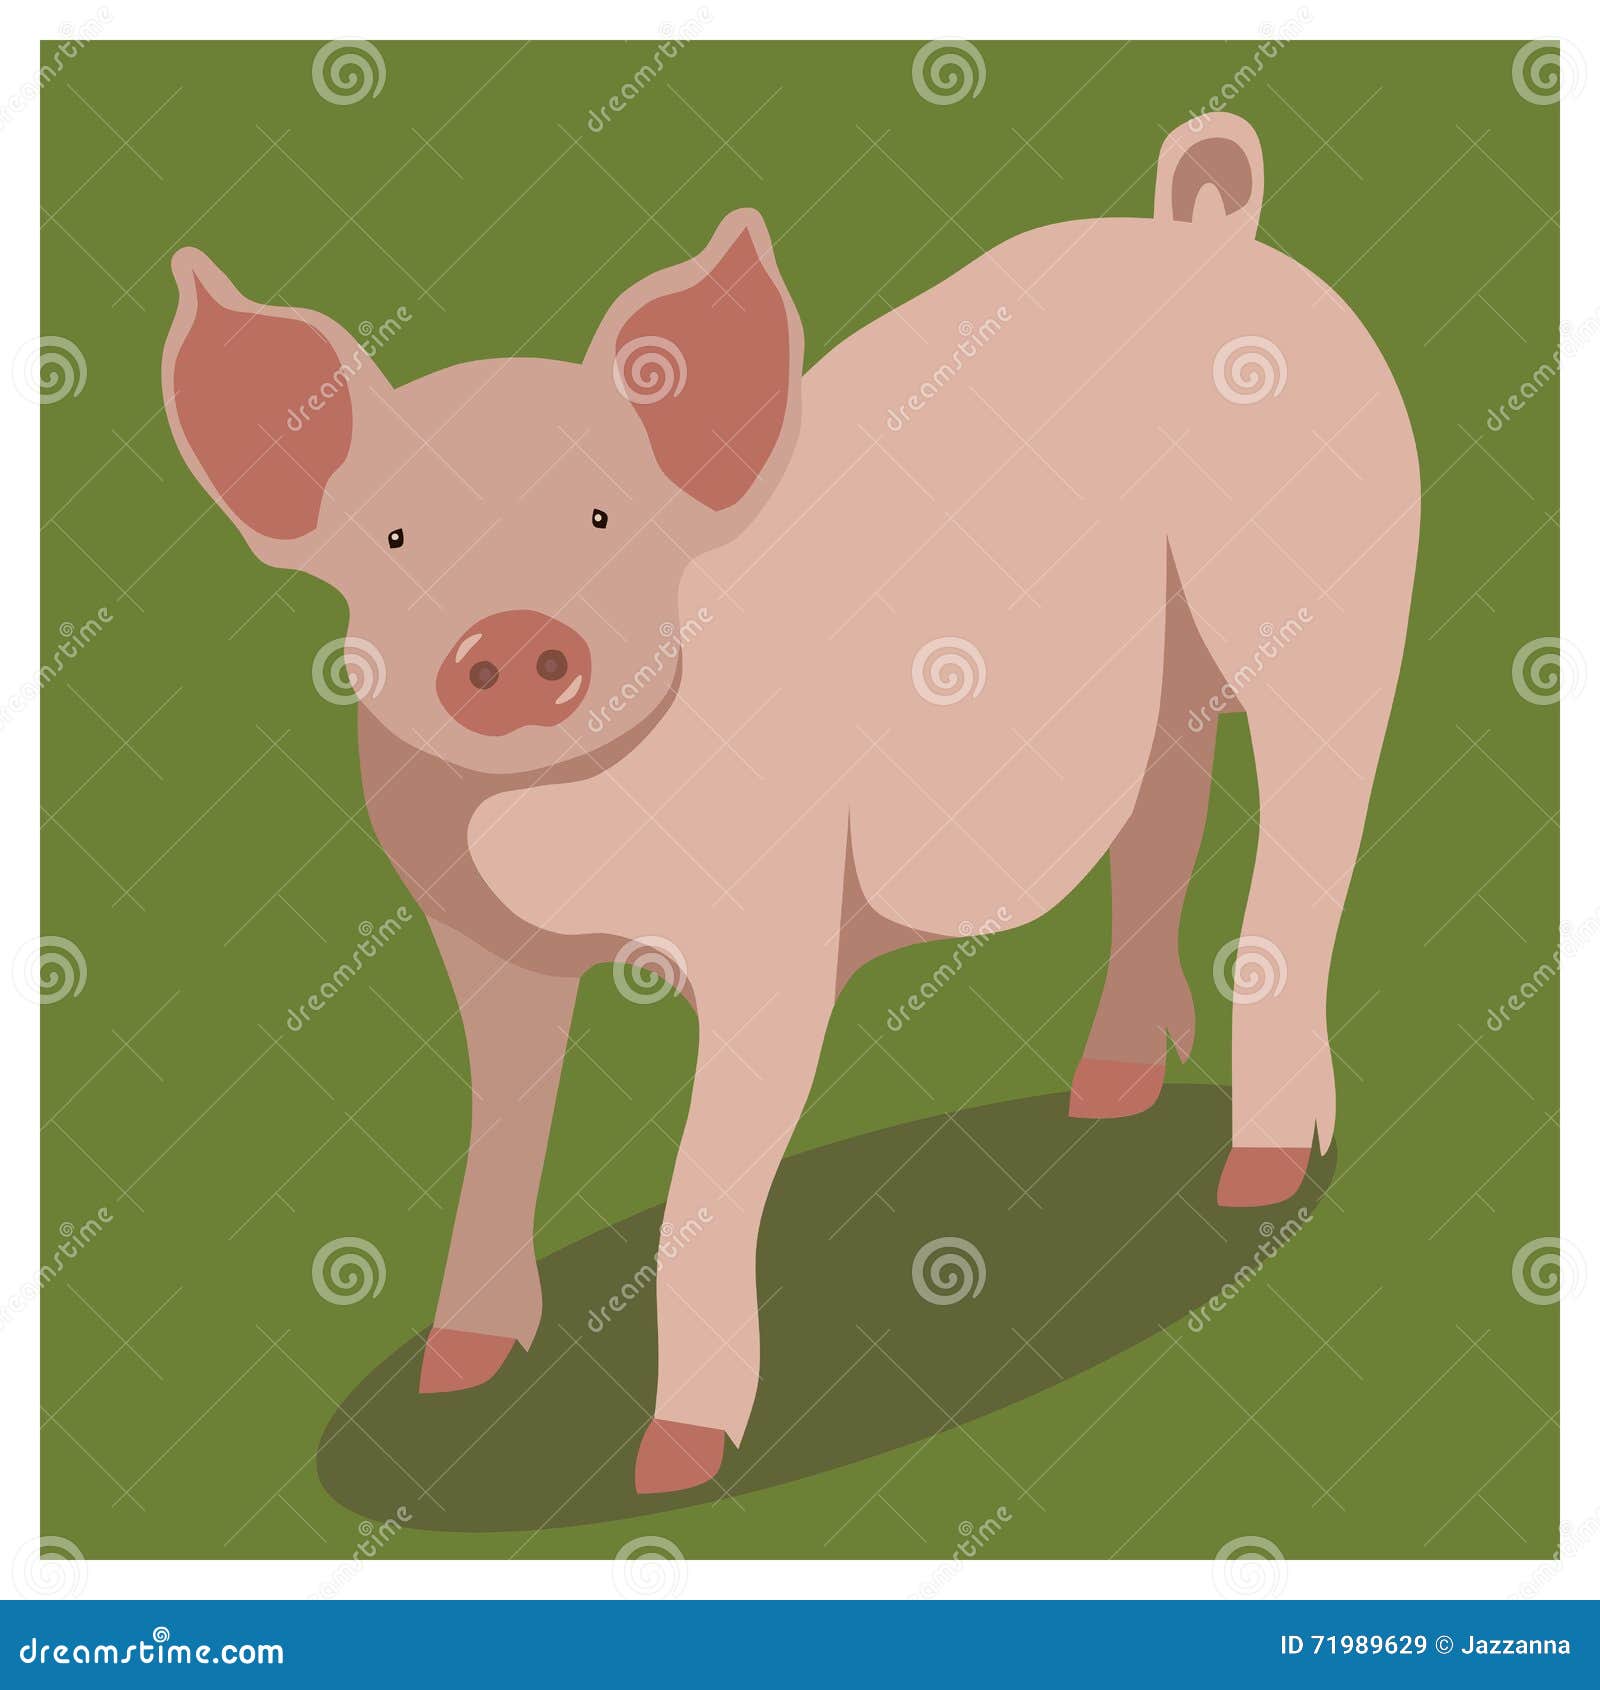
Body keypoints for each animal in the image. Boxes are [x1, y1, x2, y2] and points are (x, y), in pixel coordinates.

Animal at [466, 112, 1420, 1493]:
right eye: (389, 539)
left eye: (601, 517)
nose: (507, 647)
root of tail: (1212, 237)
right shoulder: (482, 947)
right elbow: (499, 1124)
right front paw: (458, 1371)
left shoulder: (769, 924)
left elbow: (708, 1173)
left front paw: (677, 1465)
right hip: (1159, 669)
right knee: (1165, 813)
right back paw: (1109, 1094)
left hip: (1326, 604)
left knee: (1308, 833)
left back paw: (1255, 1175)